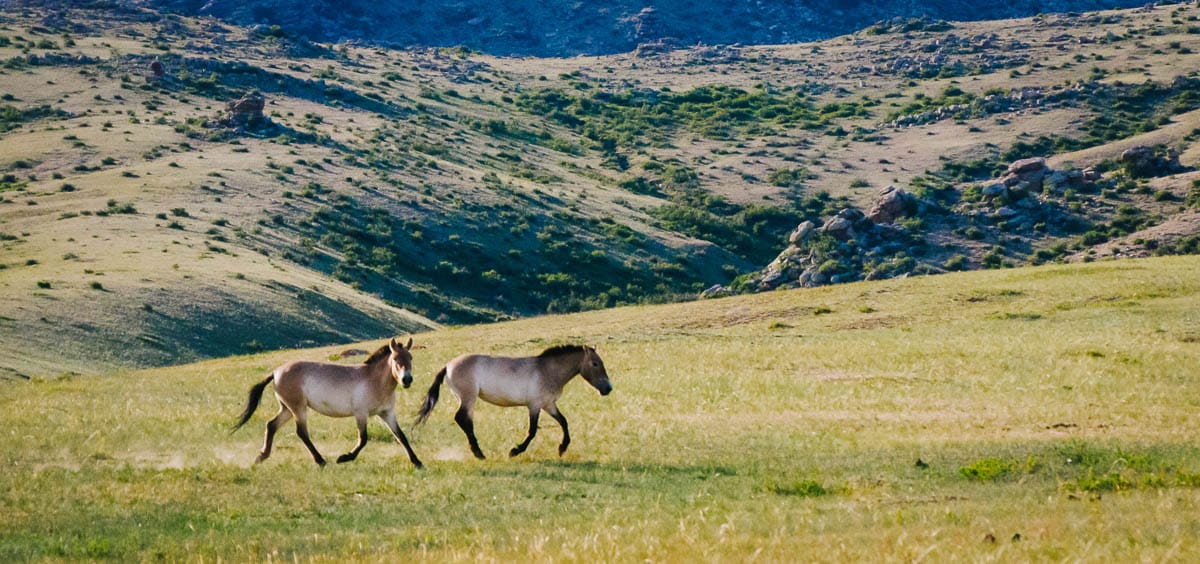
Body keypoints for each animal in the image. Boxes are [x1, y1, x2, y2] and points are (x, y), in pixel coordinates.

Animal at [232, 337, 423, 468]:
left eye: (411, 358)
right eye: (396, 359)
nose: (407, 380)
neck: (373, 380)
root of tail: (276, 372)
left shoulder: (387, 414)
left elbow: (401, 437)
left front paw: (417, 462)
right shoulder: (361, 414)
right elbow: (363, 439)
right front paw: (344, 458)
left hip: (287, 408)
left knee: (271, 425)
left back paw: (261, 456)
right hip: (298, 408)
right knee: (302, 432)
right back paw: (321, 460)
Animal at [414, 344, 612, 459]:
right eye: (595, 364)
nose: (608, 388)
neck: (547, 370)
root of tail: (448, 366)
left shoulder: (548, 405)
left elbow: (564, 422)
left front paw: (562, 448)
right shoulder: (534, 406)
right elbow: (532, 431)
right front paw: (515, 451)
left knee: (464, 421)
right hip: (468, 398)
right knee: (462, 419)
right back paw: (479, 453)